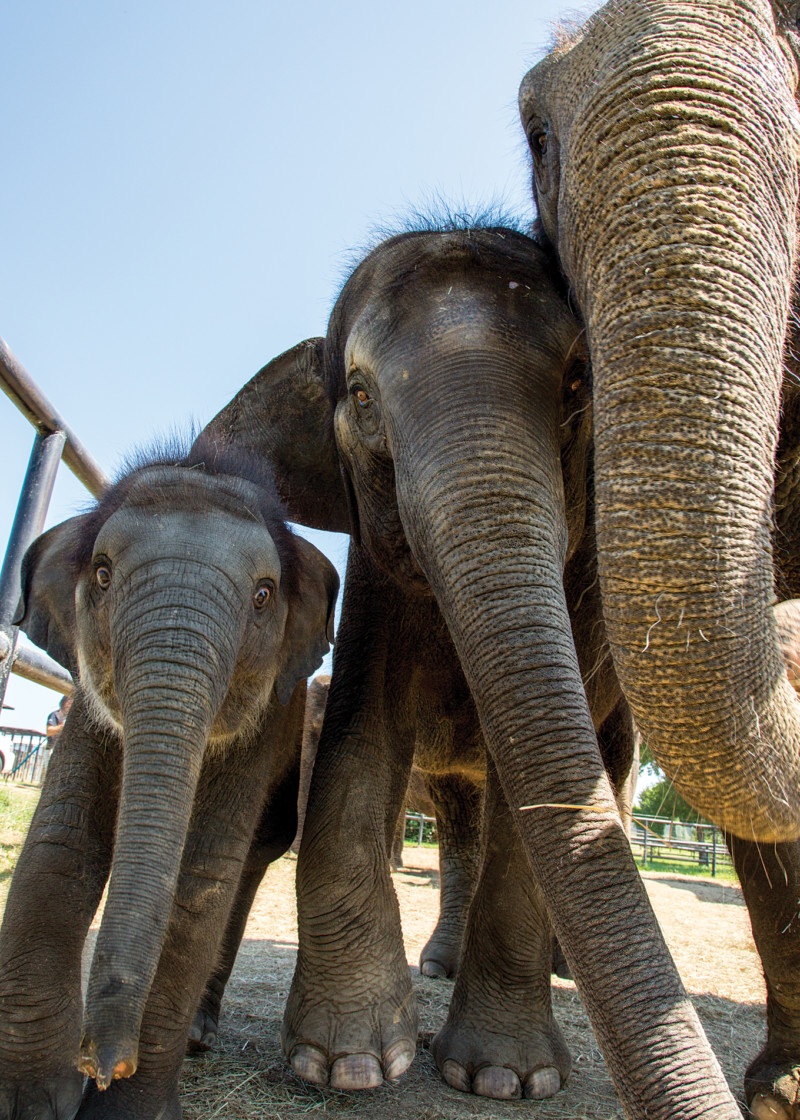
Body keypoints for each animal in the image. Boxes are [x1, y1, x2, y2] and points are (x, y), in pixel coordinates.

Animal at [0, 447, 338, 1120]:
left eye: (263, 594)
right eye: (103, 574)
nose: (101, 1064)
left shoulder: (268, 720)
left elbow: (200, 877)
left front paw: (124, 1111)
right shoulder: (84, 703)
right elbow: (60, 849)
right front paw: (32, 1102)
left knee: (252, 856)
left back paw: (199, 1036)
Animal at [198, 222, 646, 1105]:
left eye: (579, 380)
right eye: (362, 396)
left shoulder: (583, 600)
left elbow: (540, 793)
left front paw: (506, 1080)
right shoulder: (374, 571)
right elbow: (359, 735)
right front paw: (350, 1062)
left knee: (599, 779)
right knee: (461, 820)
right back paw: (436, 966)